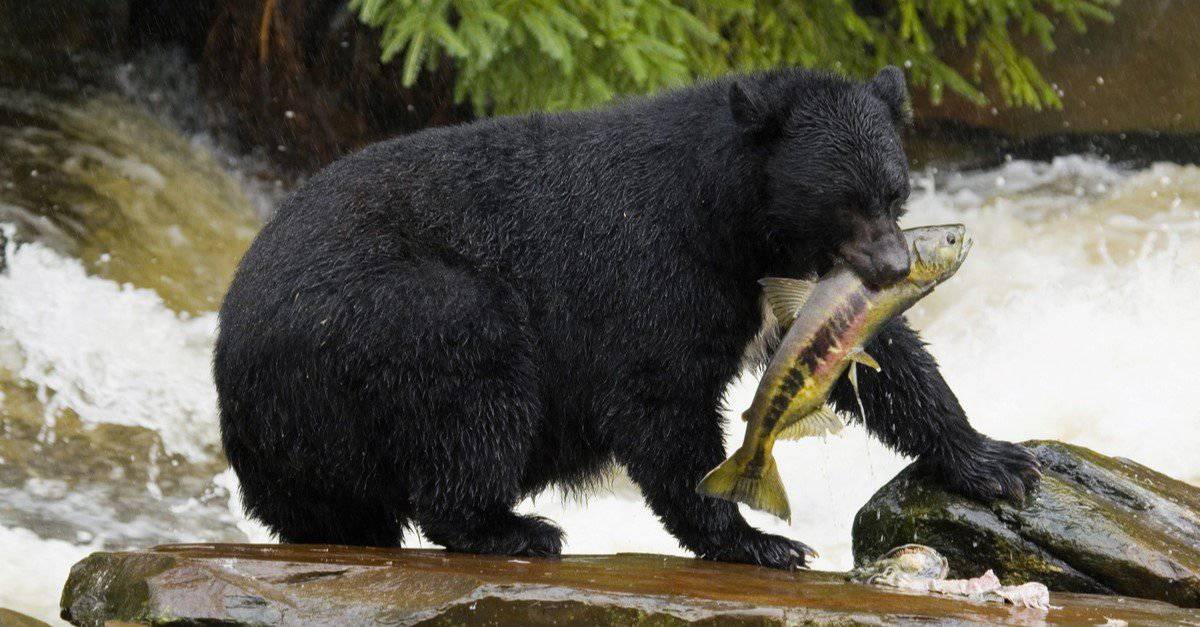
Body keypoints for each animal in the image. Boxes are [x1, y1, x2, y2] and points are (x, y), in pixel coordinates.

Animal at [214, 66, 1040, 570]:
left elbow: (882, 355)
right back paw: (511, 526)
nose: (896, 267)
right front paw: (755, 537)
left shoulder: (802, 282)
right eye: (845, 199)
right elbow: (657, 399)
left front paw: (997, 460)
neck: (735, 217)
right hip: (387, 319)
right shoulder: (651, 265)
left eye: (895, 193)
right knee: (470, 379)